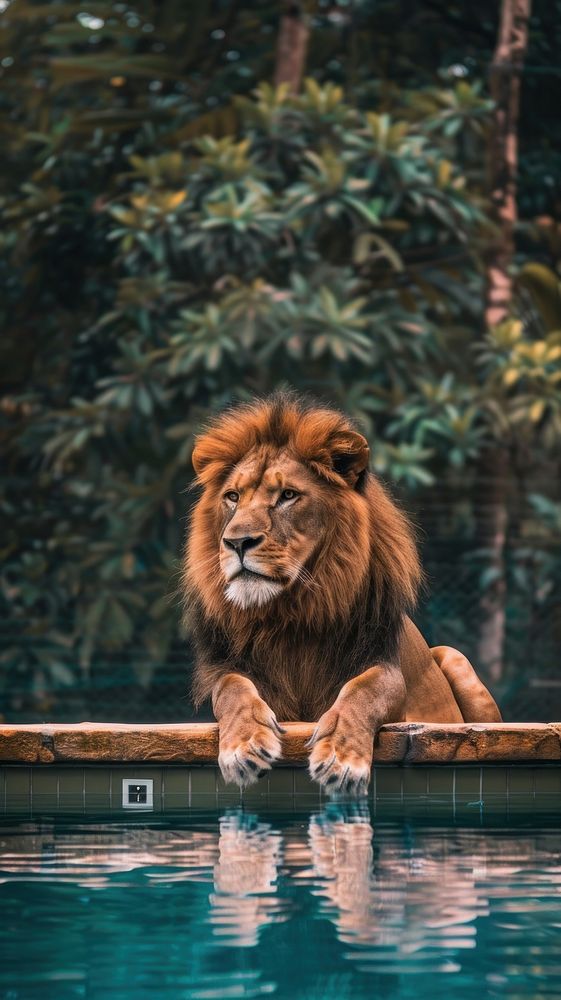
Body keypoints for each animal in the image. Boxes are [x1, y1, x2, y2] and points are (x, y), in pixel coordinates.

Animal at [183, 391, 501, 796]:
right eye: (233, 497)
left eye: (288, 495)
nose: (237, 542)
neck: (290, 612)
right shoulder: (232, 670)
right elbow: (231, 689)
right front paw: (244, 747)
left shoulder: (383, 665)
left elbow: (362, 691)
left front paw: (340, 759)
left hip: (457, 660)